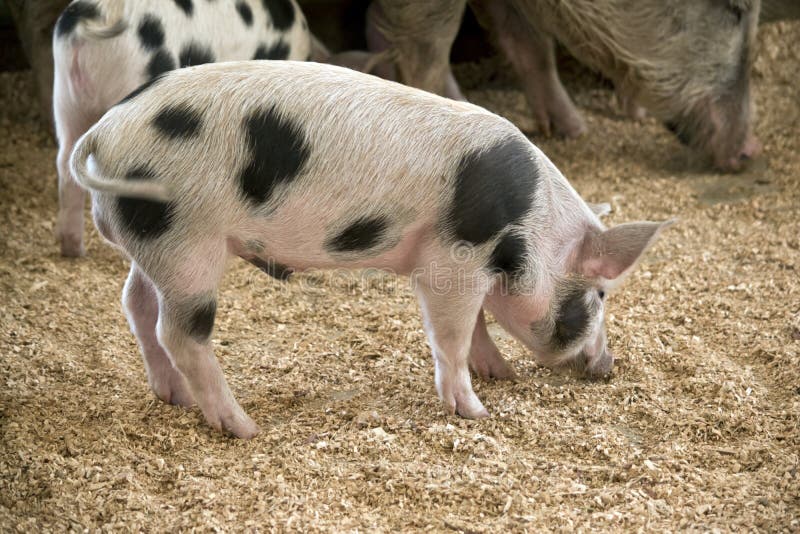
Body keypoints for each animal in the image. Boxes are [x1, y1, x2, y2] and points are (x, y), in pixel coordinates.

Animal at [69, 61, 671, 438]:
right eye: (600, 294)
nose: (607, 367)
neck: (530, 225)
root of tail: (103, 131)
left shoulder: (463, 266)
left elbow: (475, 326)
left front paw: (503, 375)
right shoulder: (452, 258)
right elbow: (451, 336)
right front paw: (476, 413)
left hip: (152, 243)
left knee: (136, 305)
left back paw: (175, 399)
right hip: (186, 242)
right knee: (180, 332)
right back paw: (243, 427)